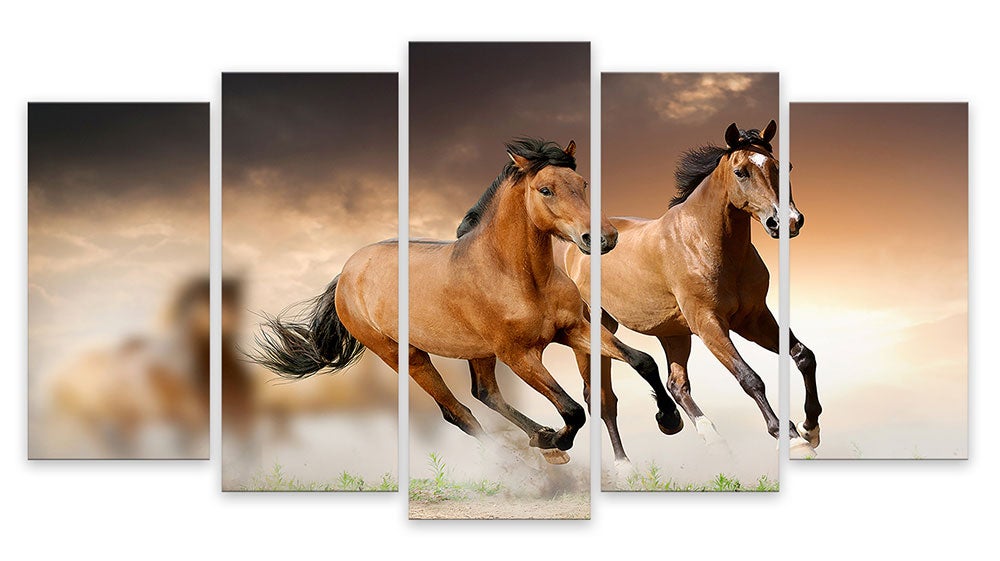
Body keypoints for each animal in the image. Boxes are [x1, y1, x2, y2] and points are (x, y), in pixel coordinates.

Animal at [250, 138, 682, 464]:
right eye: (545, 189)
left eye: (583, 183)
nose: (603, 238)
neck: (521, 276)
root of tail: (346, 272)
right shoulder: (519, 354)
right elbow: (573, 409)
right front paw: (555, 440)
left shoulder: (574, 329)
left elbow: (642, 360)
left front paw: (669, 420)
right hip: (405, 355)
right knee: (457, 411)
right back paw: (527, 458)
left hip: (477, 351)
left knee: (485, 393)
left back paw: (539, 439)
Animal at [565, 121, 821, 465]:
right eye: (741, 172)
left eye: (784, 166)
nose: (787, 222)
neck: (704, 241)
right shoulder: (708, 323)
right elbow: (749, 378)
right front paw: (790, 439)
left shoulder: (754, 319)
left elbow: (803, 356)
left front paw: (810, 429)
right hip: (600, 329)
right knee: (603, 399)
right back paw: (624, 466)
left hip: (672, 333)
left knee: (676, 384)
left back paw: (705, 435)